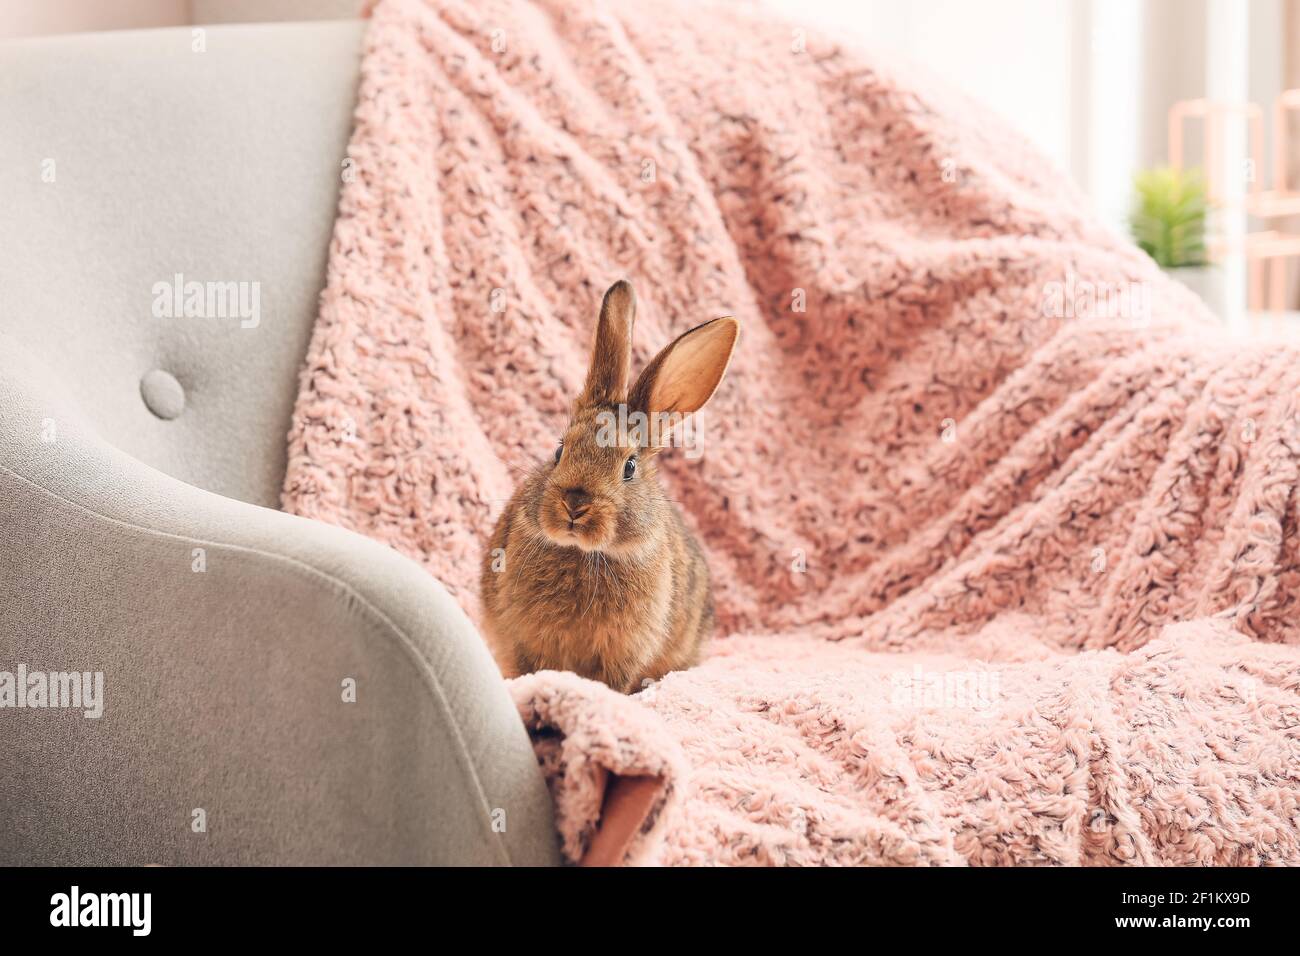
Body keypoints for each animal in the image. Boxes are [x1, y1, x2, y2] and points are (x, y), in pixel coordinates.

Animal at [479, 279, 738, 693]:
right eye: (559, 450)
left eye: (629, 467)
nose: (574, 504)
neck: (585, 553)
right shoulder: (525, 640)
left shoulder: (624, 651)